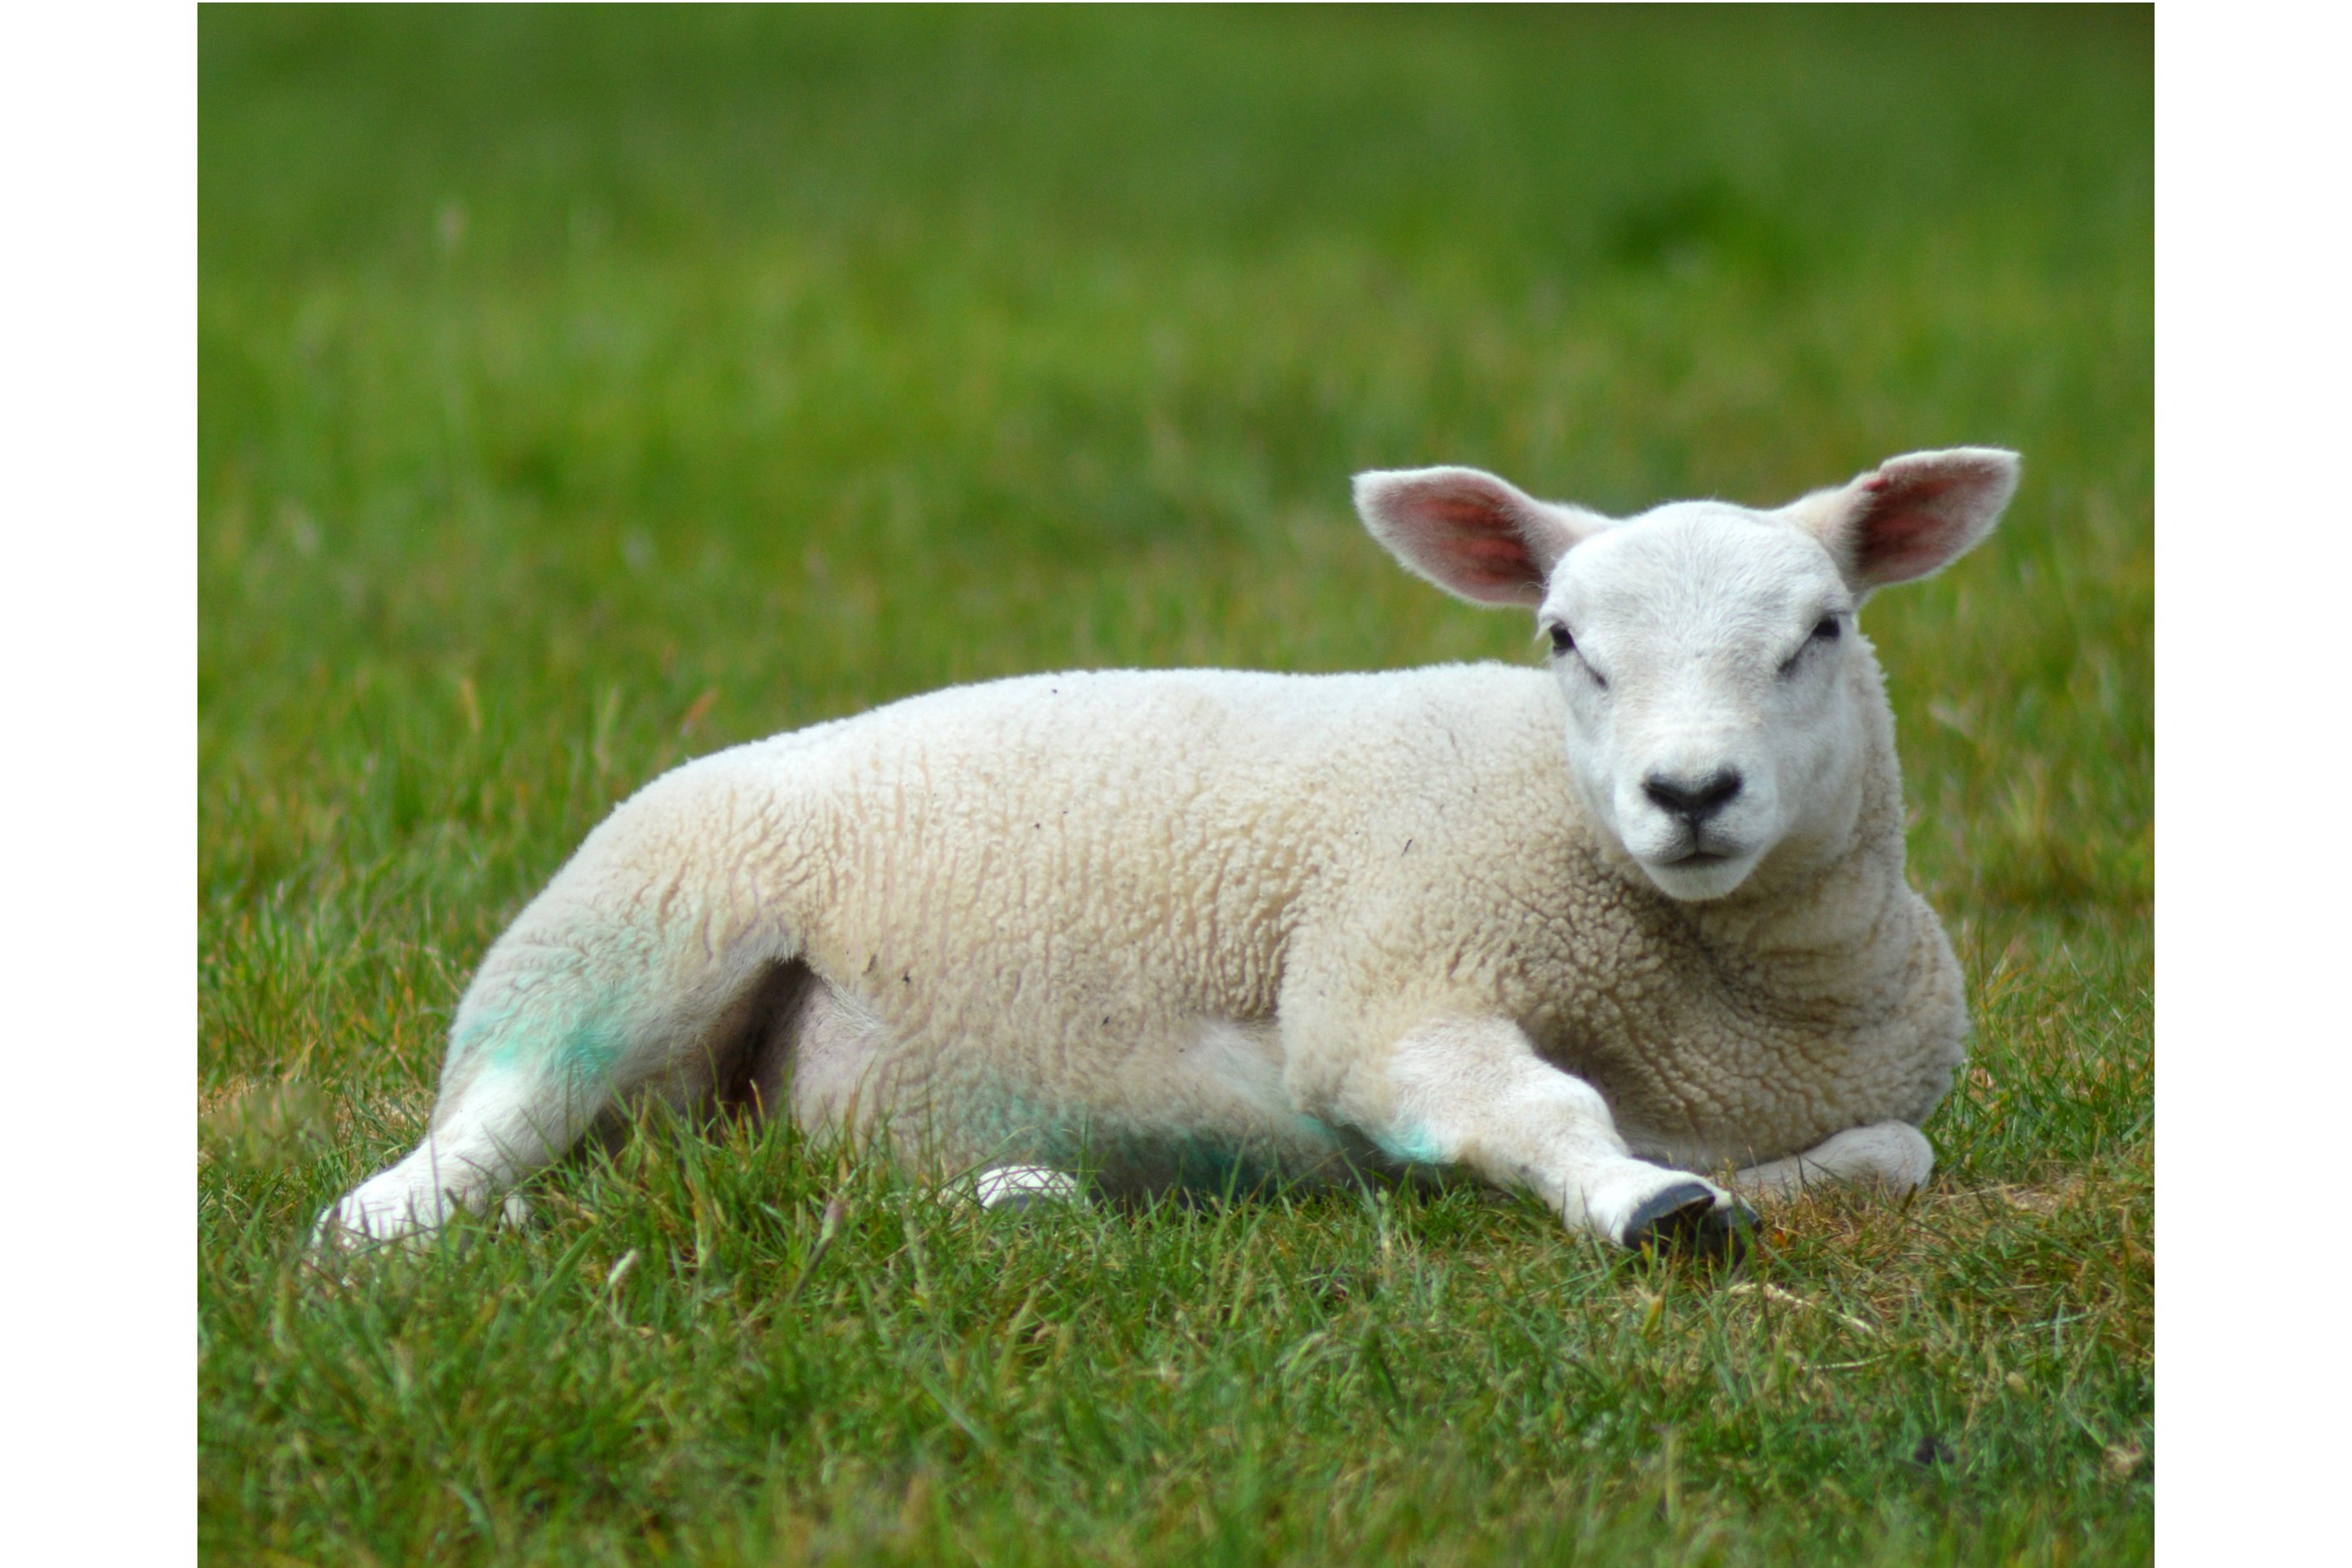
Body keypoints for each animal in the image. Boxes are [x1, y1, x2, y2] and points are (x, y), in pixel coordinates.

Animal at [317, 446, 2019, 1255]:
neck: (1723, 1002)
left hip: (758, 1086)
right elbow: (1541, 1106)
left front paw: (1722, 1190)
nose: (1689, 792)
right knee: (471, 1140)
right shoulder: (1383, 985)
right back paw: (399, 1227)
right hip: (618, 943)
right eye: (1562, 640)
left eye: (1824, 628)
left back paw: (1025, 1199)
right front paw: (1648, 1209)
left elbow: (1893, 1156)